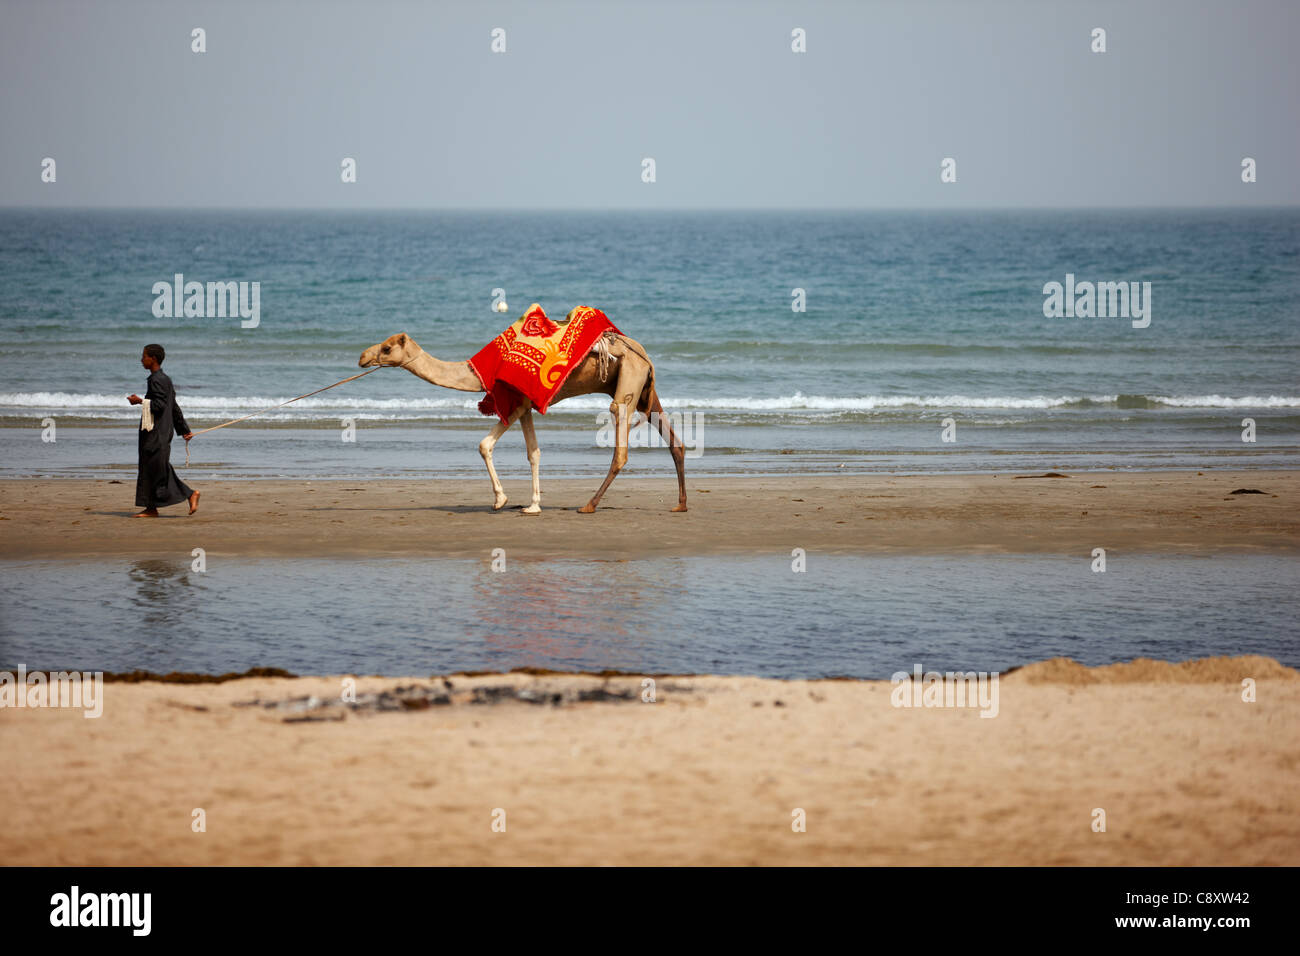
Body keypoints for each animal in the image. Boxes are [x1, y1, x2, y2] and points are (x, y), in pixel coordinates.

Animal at [358, 331, 688, 515]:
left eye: (386, 348)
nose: (362, 356)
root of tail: (642, 353)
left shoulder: (517, 402)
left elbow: (484, 444)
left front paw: (501, 500)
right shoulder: (527, 406)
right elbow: (534, 453)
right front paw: (533, 505)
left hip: (628, 383)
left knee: (620, 445)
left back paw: (588, 505)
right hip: (645, 390)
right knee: (675, 442)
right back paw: (681, 503)